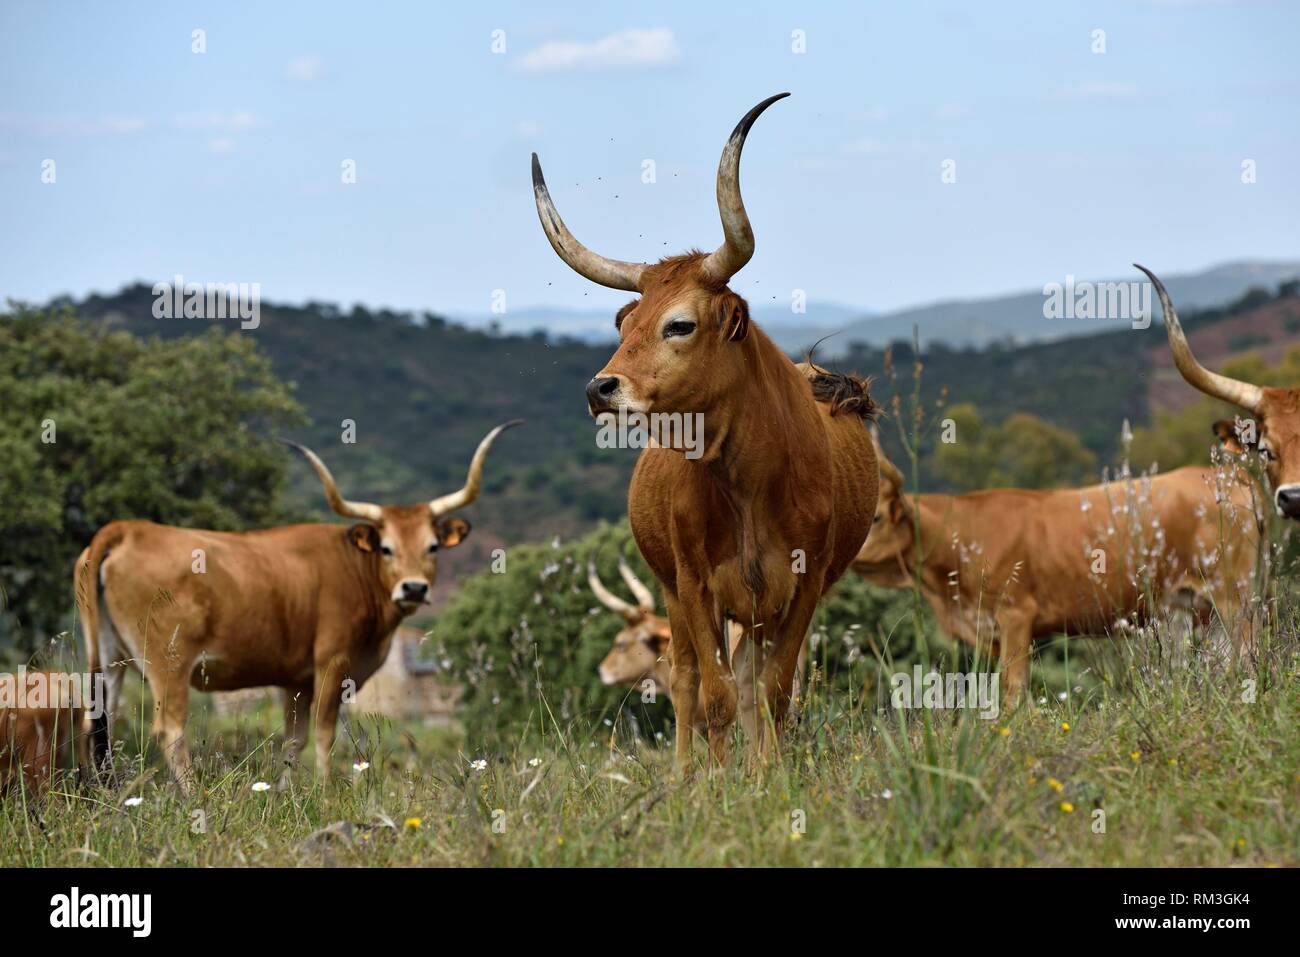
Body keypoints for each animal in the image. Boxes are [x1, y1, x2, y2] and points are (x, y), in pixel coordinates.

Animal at [75, 422, 519, 787]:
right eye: (387, 547)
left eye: (432, 546)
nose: (413, 588)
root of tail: (129, 529)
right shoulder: (332, 663)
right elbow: (324, 732)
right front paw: (326, 793)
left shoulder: (295, 679)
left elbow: (294, 740)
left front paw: (285, 791)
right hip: (169, 662)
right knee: (168, 729)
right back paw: (192, 795)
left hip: (111, 658)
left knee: (99, 721)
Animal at [533, 93, 878, 769]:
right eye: (626, 323)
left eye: (680, 324)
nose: (599, 390)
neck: (750, 484)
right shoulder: (694, 585)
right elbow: (712, 694)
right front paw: (716, 786)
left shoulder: (804, 586)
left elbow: (772, 691)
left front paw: (768, 777)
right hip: (679, 592)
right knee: (691, 682)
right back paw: (686, 774)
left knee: (752, 679)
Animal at [853, 437, 1262, 701]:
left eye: (875, 517)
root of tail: (1228, 477)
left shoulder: (1015, 615)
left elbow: (1012, 688)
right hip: (1200, 607)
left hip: (1233, 596)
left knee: (1247, 657)